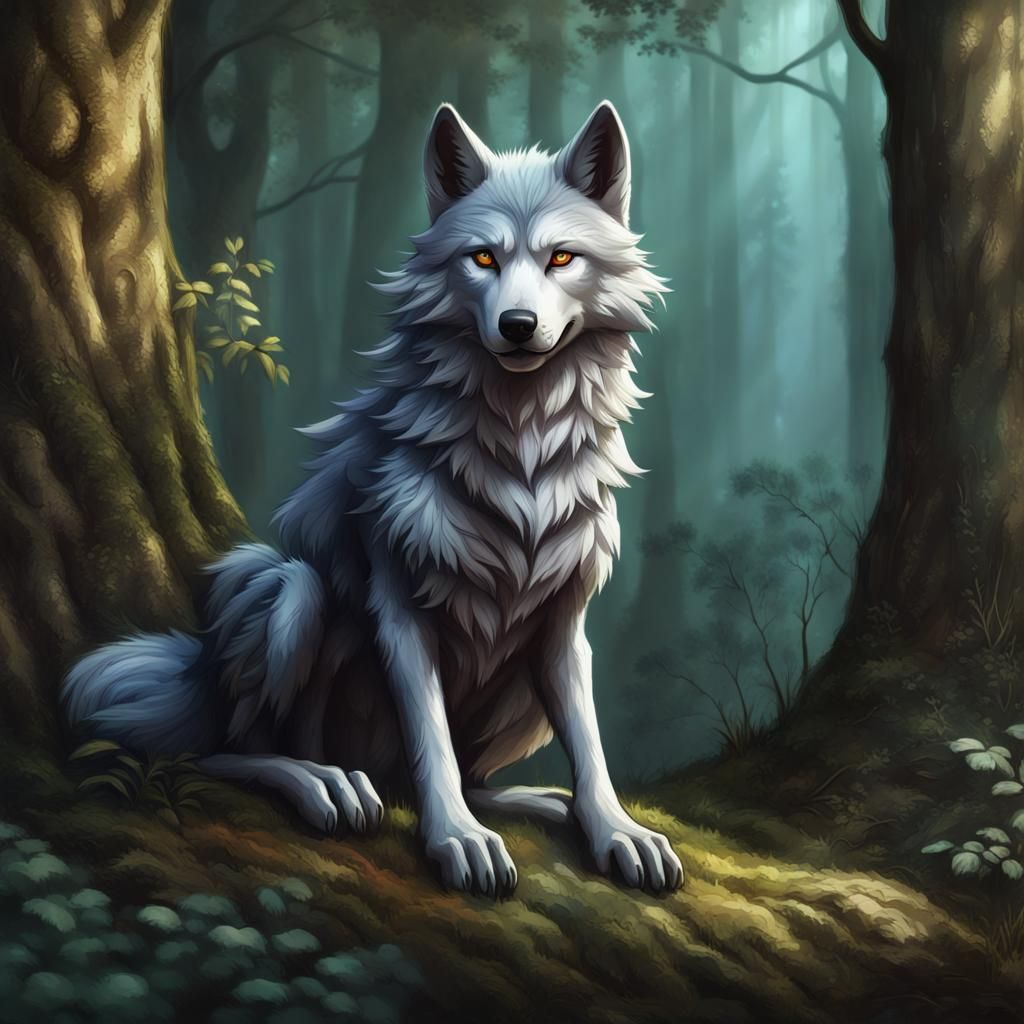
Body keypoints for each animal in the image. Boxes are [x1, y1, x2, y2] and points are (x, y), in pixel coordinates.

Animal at [62, 100, 682, 896]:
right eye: (483, 259)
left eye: (562, 259)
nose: (517, 326)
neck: (520, 450)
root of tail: (199, 672)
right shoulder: (399, 607)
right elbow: (433, 740)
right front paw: (456, 840)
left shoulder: (564, 624)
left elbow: (591, 746)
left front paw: (614, 829)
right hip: (290, 590)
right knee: (227, 749)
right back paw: (325, 782)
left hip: (517, 695)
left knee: (472, 775)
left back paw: (539, 801)